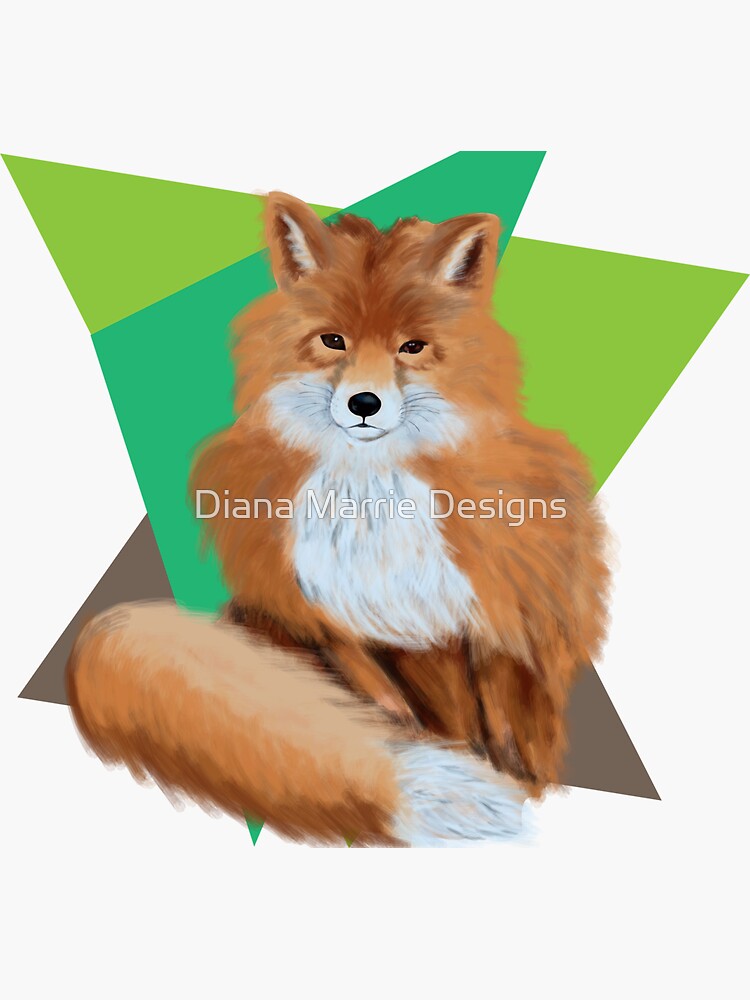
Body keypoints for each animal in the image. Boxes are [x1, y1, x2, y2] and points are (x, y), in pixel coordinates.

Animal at [67, 193, 610, 846]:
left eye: (411, 347)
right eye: (333, 340)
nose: (364, 404)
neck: (370, 496)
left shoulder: (489, 611)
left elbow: (498, 702)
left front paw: (511, 767)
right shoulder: (316, 615)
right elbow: (381, 706)